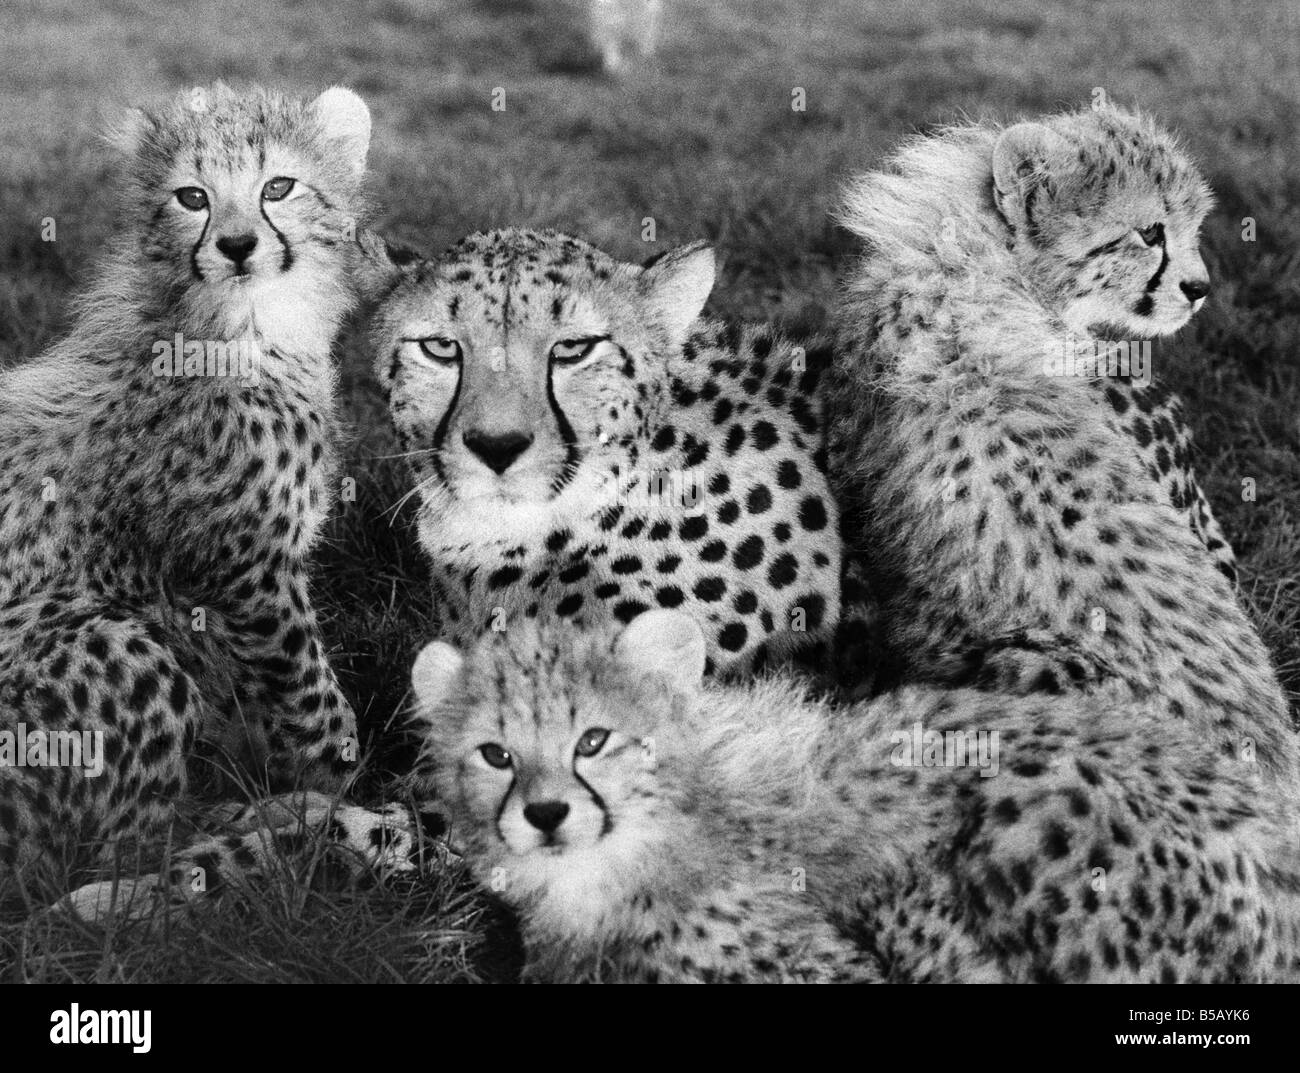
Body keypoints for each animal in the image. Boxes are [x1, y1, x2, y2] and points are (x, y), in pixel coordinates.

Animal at [0, 83, 374, 893]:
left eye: (278, 187)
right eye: (192, 197)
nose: (236, 246)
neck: (242, 325)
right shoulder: (250, 572)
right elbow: (315, 697)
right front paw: (333, 775)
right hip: (113, 634)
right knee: (111, 861)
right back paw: (291, 826)